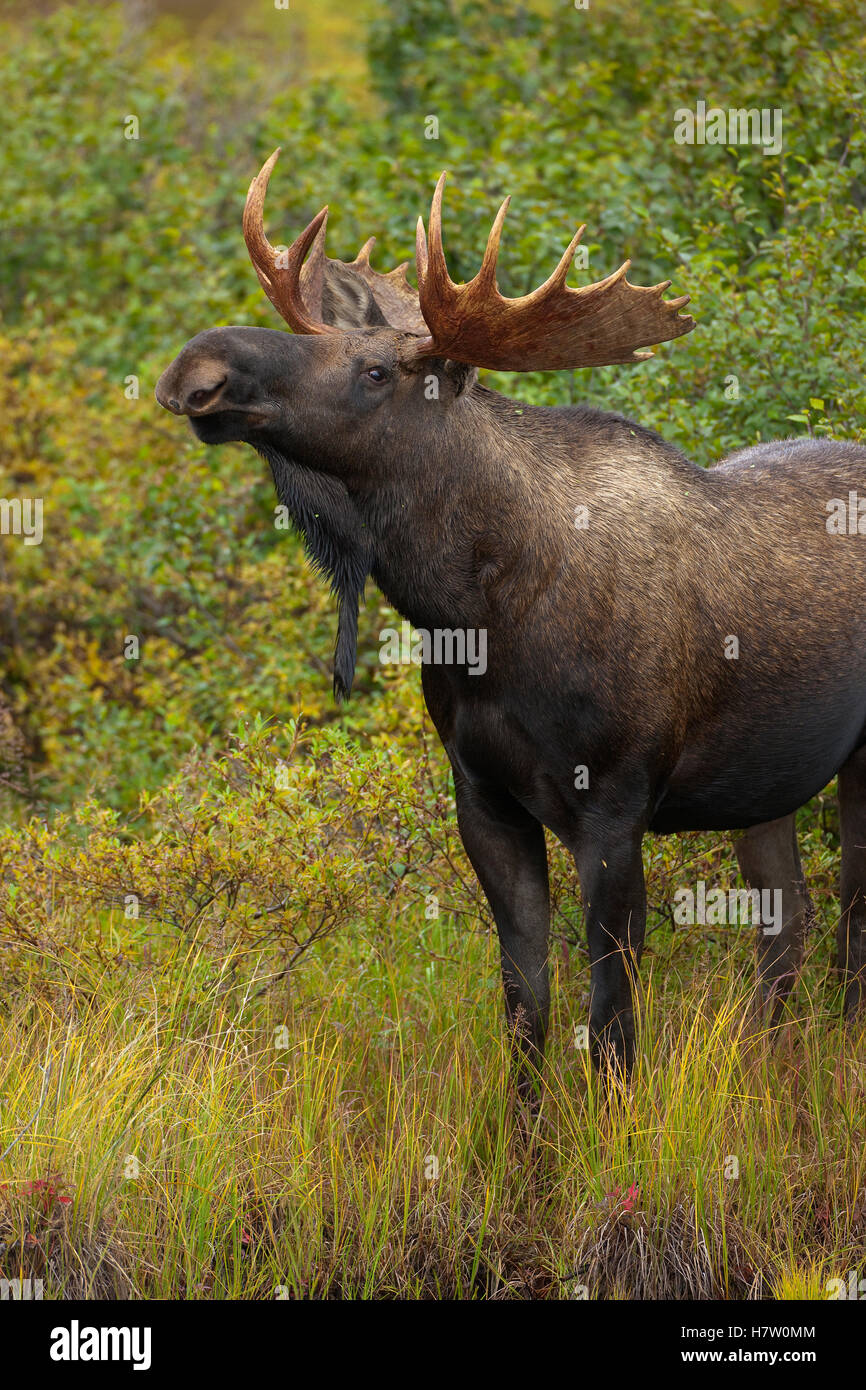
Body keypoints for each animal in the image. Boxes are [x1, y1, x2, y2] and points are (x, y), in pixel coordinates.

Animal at [156, 150, 866, 1102]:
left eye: (375, 370)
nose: (198, 365)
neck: (479, 619)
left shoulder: (614, 806)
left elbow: (611, 1019)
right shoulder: (484, 801)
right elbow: (525, 1008)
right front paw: (528, 1139)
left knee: (848, 932)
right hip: (767, 786)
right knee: (787, 932)